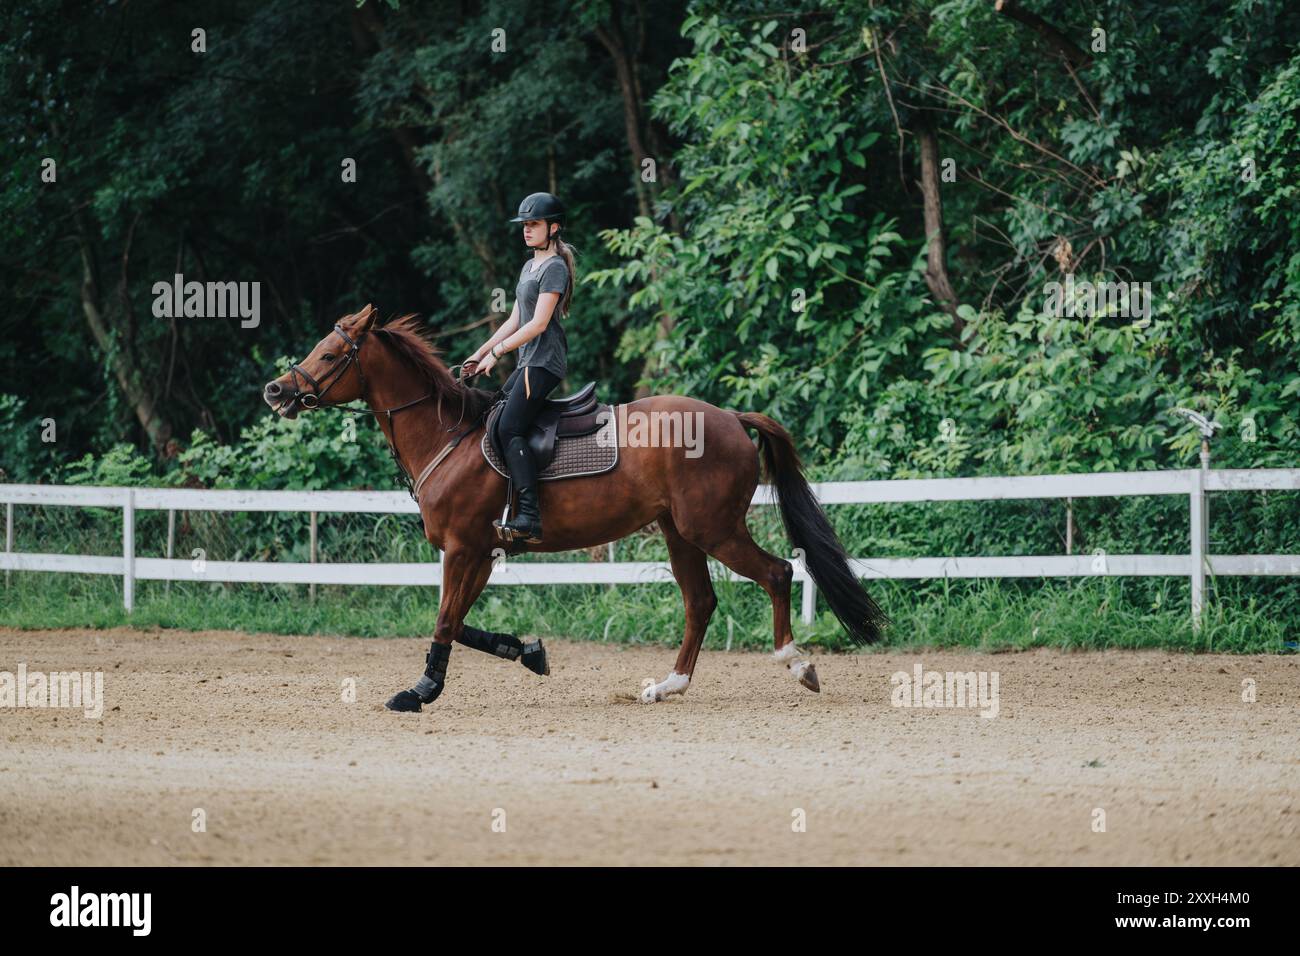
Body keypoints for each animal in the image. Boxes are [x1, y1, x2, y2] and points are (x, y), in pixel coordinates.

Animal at [262, 305, 890, 710]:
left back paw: (796, 663)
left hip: (712, 529)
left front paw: (420, 692)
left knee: (777, 573)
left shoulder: (467, 549)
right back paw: (669, 686)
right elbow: (460, 623)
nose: (276, 391)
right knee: (701, 602)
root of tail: (731, 417)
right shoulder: (481, 553)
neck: (448, 436)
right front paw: (528, 651)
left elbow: (444, 621)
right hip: (680, 533)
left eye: (331, 353)